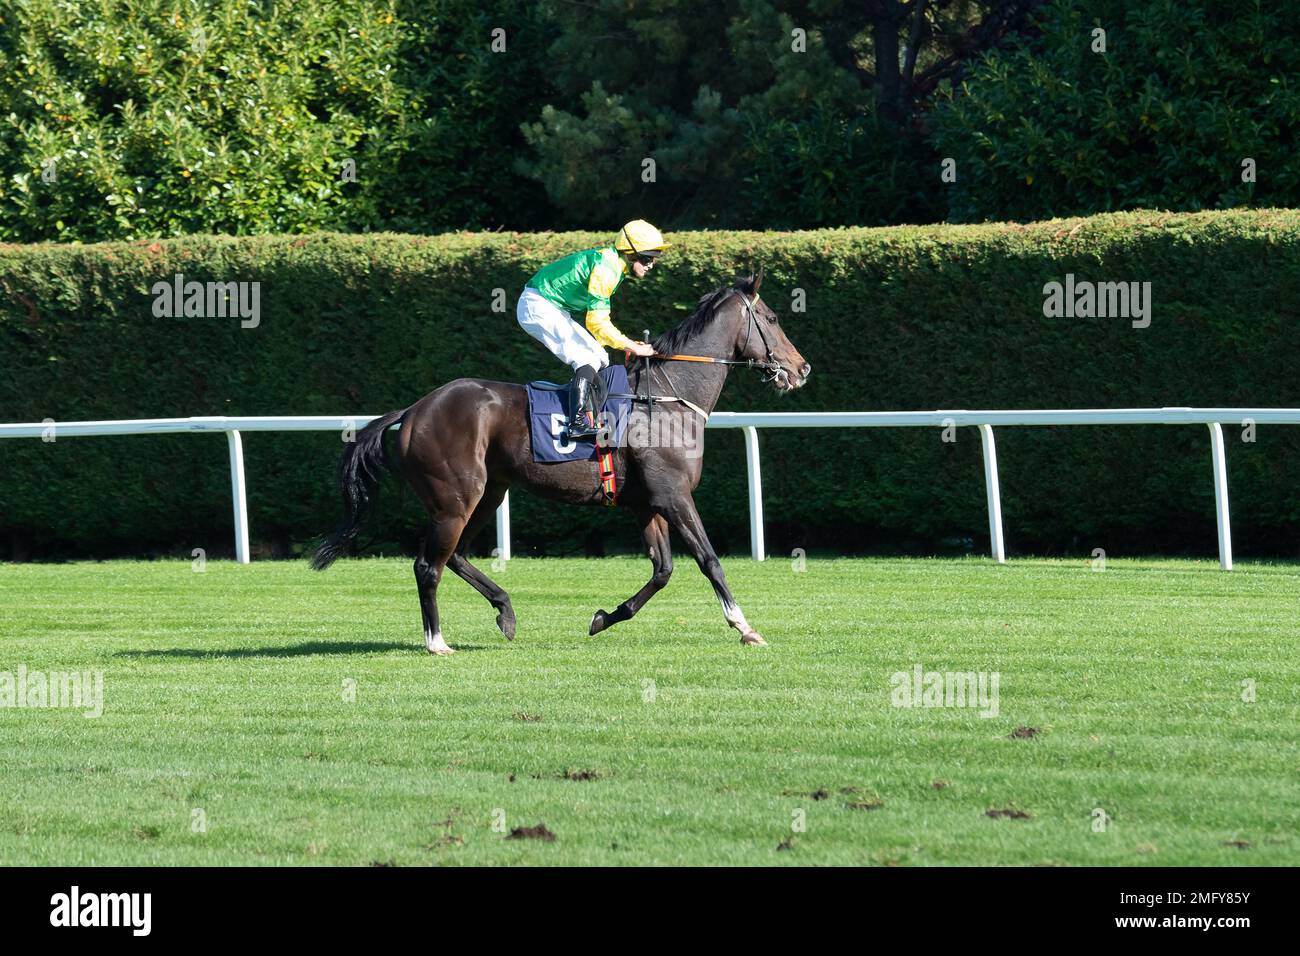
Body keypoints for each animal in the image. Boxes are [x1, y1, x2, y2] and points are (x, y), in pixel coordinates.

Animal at [310, 269, 811, 653]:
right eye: (771, 317)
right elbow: (709, 560)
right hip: (454, 499)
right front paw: (745, 627)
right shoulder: (674, 495)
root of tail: (414, 410)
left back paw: (506, 612)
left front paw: (604, 617)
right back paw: (437, 641)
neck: (668, 398)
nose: (801, 368)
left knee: (456, 556)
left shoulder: (647, 502)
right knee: (427, 565)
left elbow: (663, 571)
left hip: (488, 494)